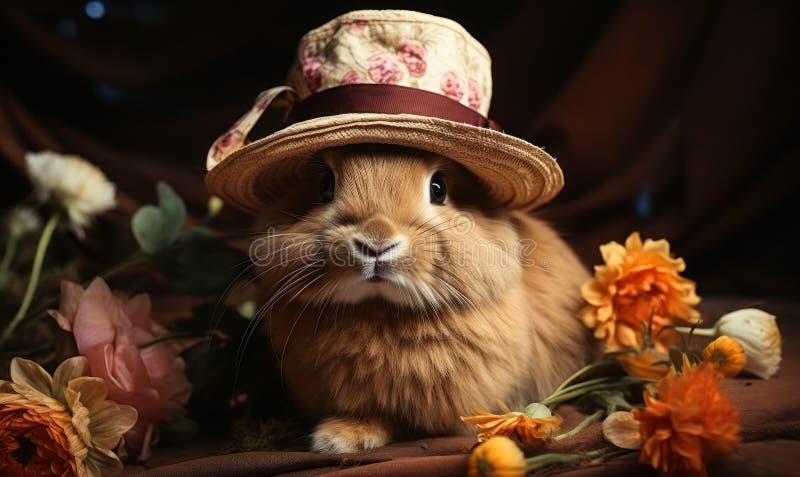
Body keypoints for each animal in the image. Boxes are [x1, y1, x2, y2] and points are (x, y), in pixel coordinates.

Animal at [252, 143, 595, 453]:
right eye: (325, 185)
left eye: (438, 188)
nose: (376, 241)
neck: (380, 309)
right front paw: (338, 438)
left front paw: (337, 440)